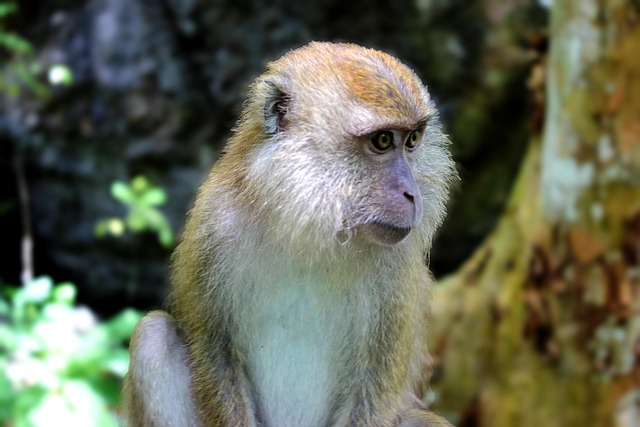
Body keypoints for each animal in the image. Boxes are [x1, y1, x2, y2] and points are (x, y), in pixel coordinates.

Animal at [121, 41, 456, 427]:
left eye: (413, 139)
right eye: (383, 141)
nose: (411, 194)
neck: (306, 228)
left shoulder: (396, 273)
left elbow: (372, 393)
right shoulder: (213, 229)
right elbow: (215, 355)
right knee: (153, 338)